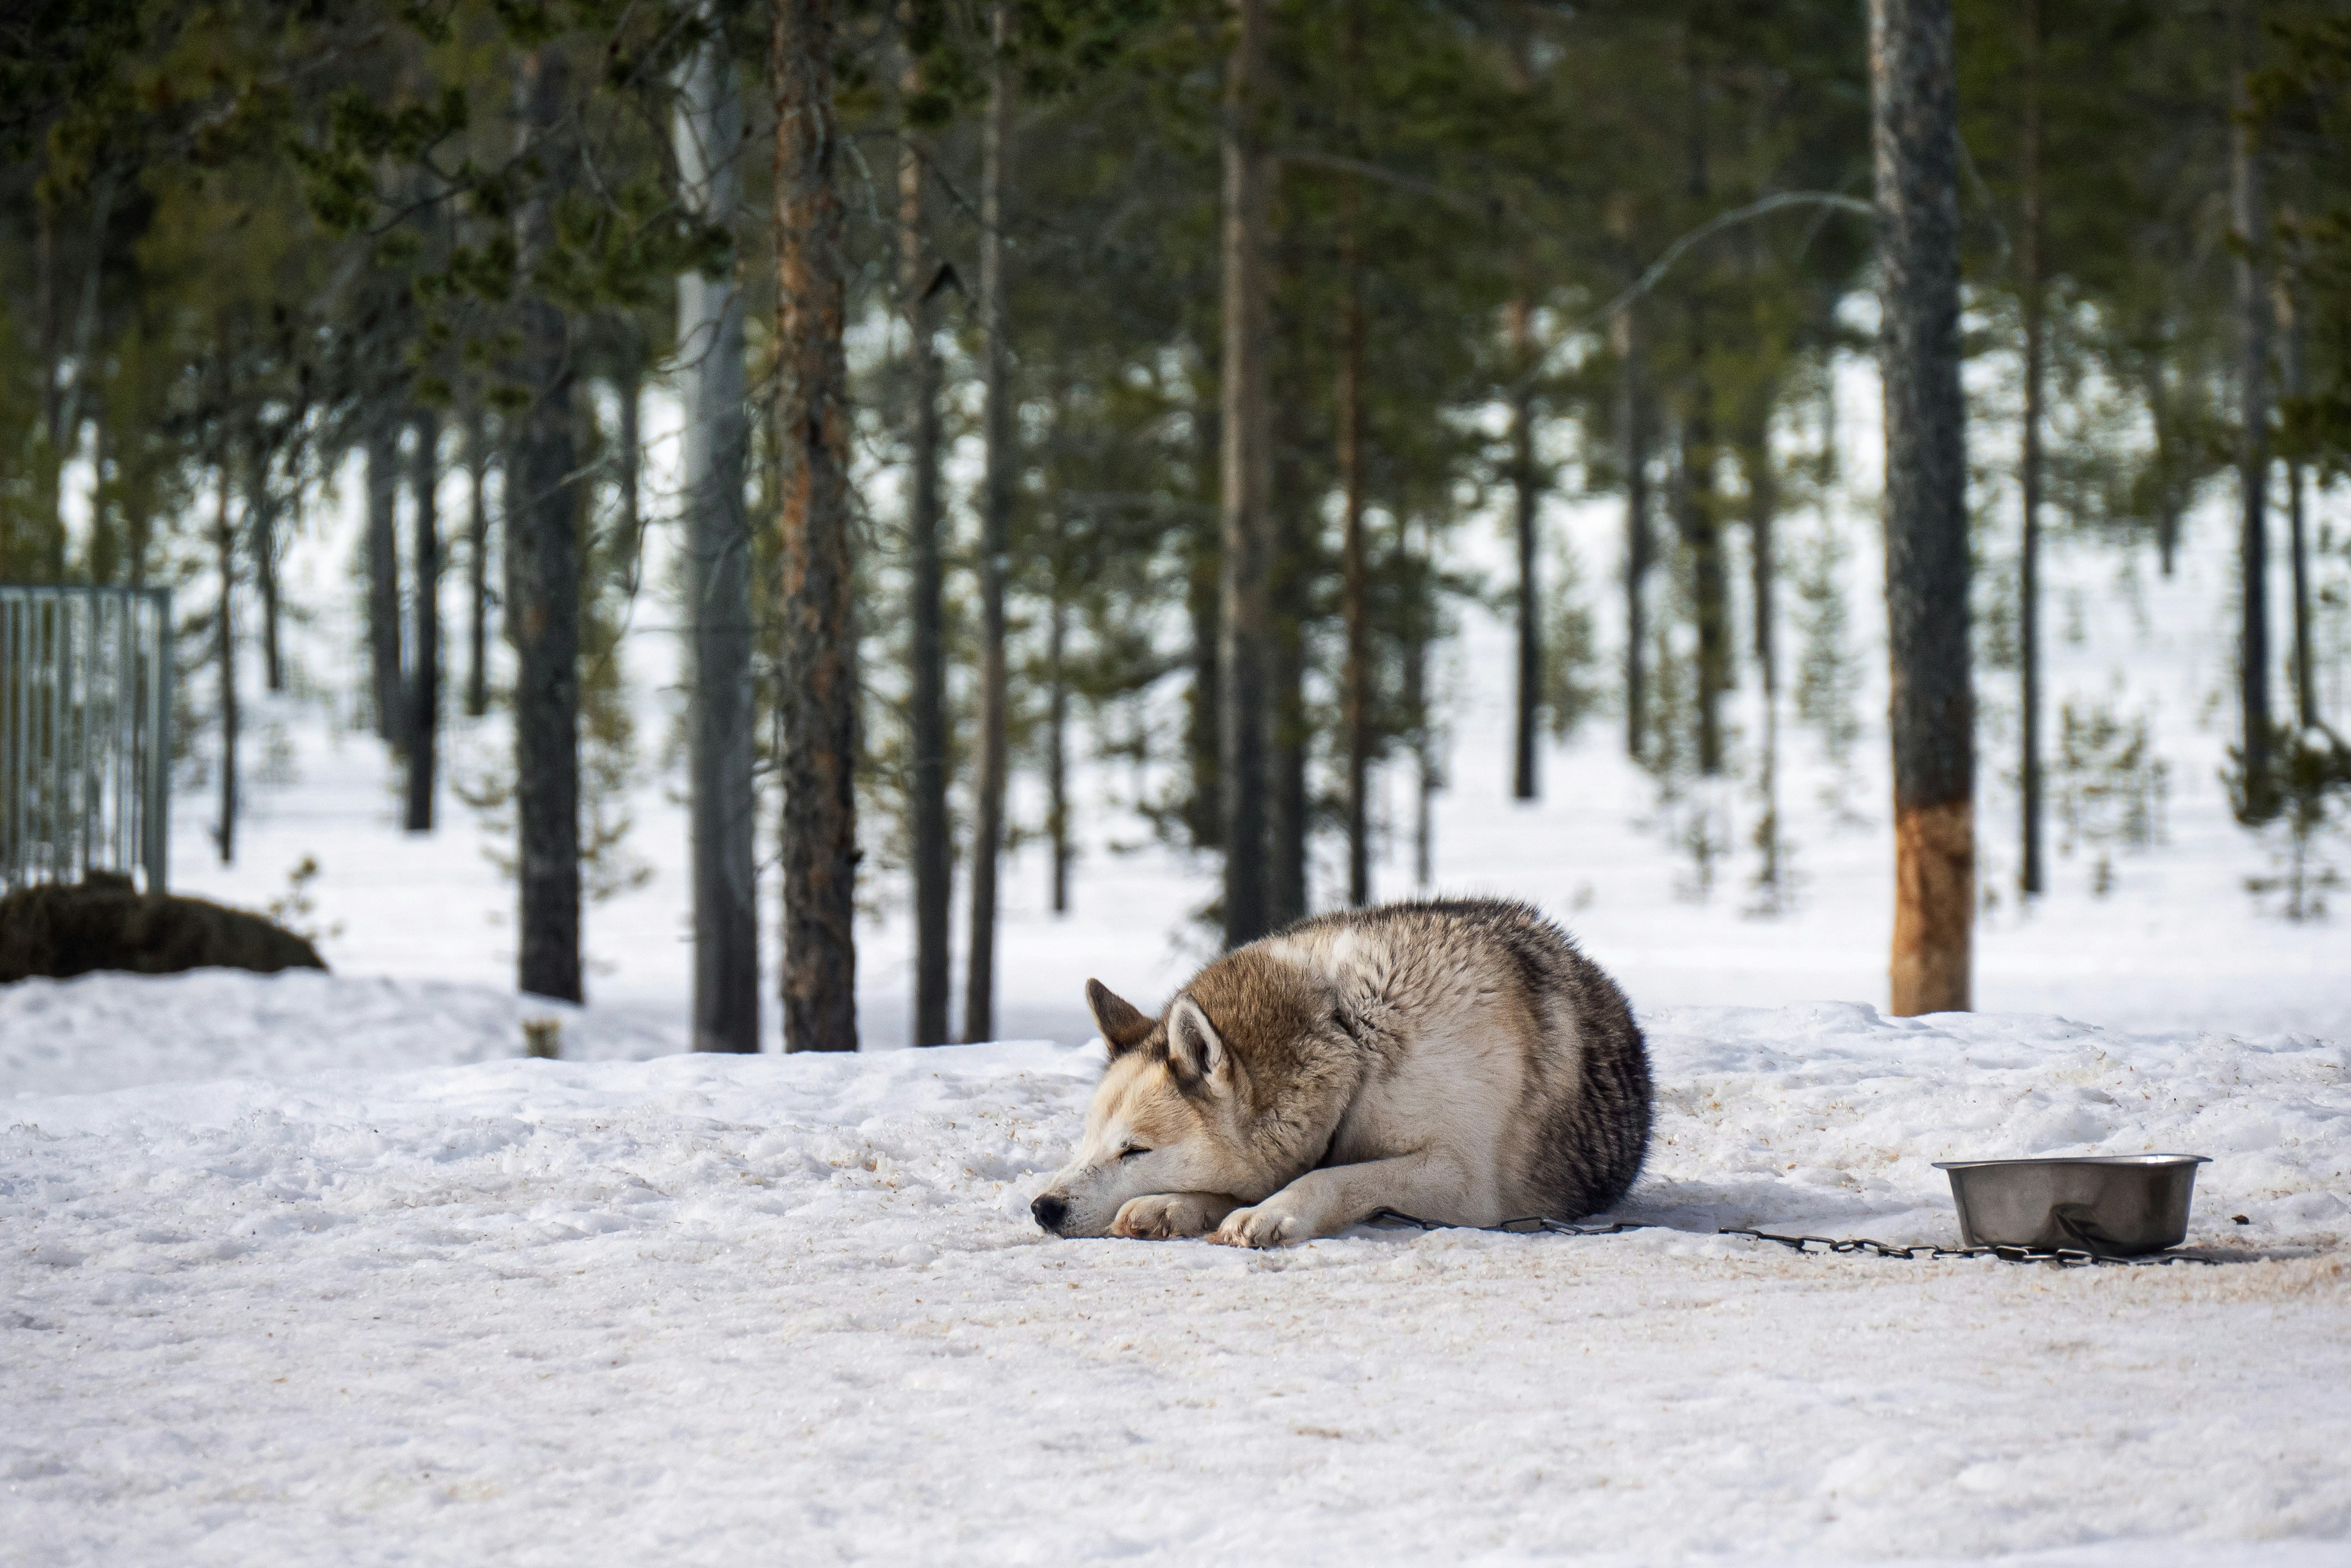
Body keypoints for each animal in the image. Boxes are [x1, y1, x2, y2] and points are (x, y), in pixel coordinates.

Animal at [1030, 898, 1652, 1248]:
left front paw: (1272, 1213)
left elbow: (1330, 1178)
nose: (1042, 1208)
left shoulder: (1462, 1181)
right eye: (1089, 1141)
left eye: (1134, 1150)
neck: (1356, 1044)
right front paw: (1171, 1206)